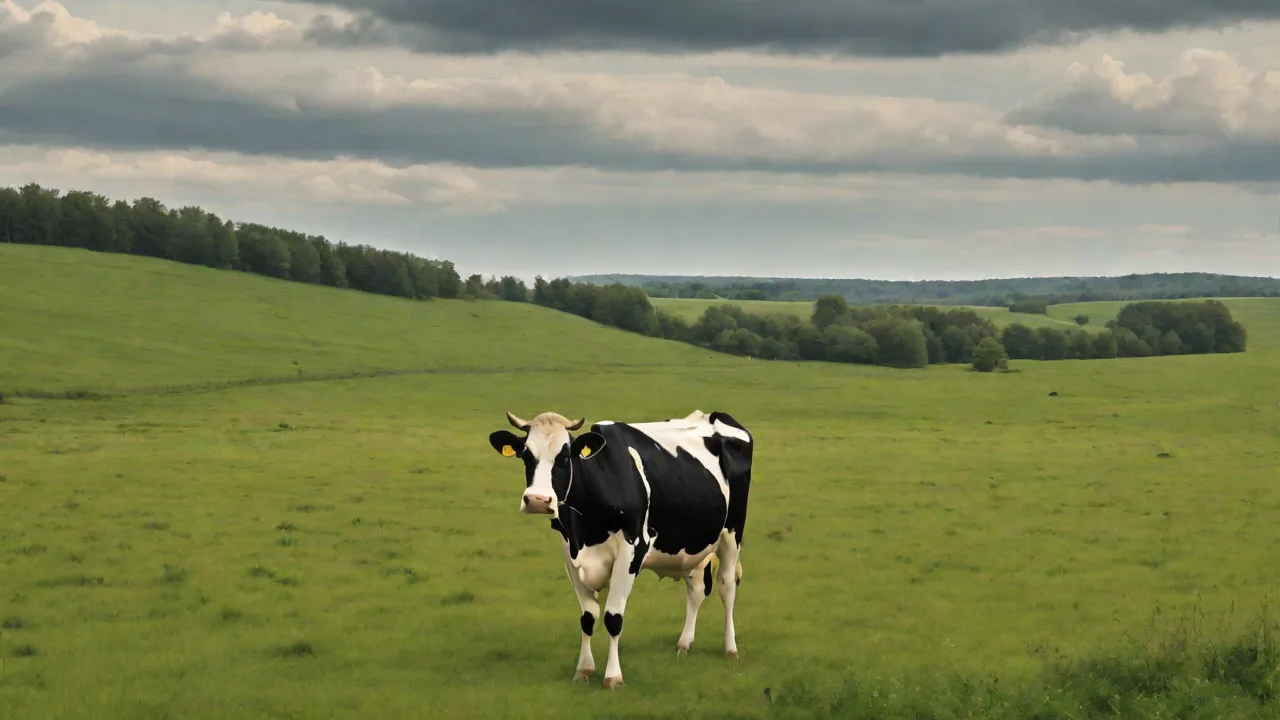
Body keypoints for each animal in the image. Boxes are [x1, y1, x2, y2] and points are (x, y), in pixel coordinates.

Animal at [487, 409, 753, 689]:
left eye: (565, 456)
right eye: (526, 455)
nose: (538, 500)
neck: (587, 530)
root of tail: (714, 415)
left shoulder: (631, 551)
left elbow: (613, 618)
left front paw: (613, 677)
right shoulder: (570, 554)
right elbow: (588, 617)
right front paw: (583, 669)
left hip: (732, 534)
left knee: (726, 586)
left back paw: (730, 649)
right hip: (694, 544)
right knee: (697, 589)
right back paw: (684, 645)